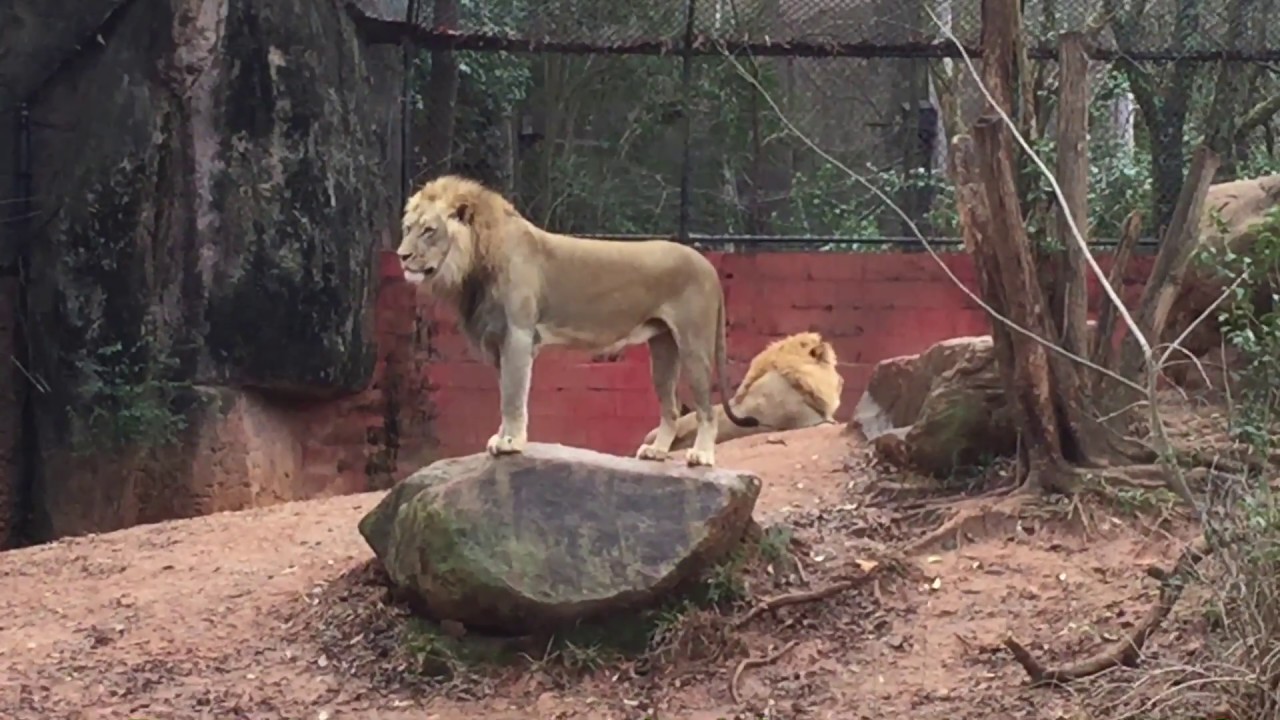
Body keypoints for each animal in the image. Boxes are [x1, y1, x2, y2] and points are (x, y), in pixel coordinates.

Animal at [396, 174, 758, 467]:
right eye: (407, 229)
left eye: (429, 231)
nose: (401, 255)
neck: (473, 267)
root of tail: (707, 264)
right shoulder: (498, 339)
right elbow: (504, 394)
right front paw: (502, 437)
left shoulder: (518, 335)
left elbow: (512, 396)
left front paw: (510, 442)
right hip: (663, 347)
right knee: (670, 408)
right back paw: (656, 452)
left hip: (694, 344)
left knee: (706, 408)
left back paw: (702, 456)